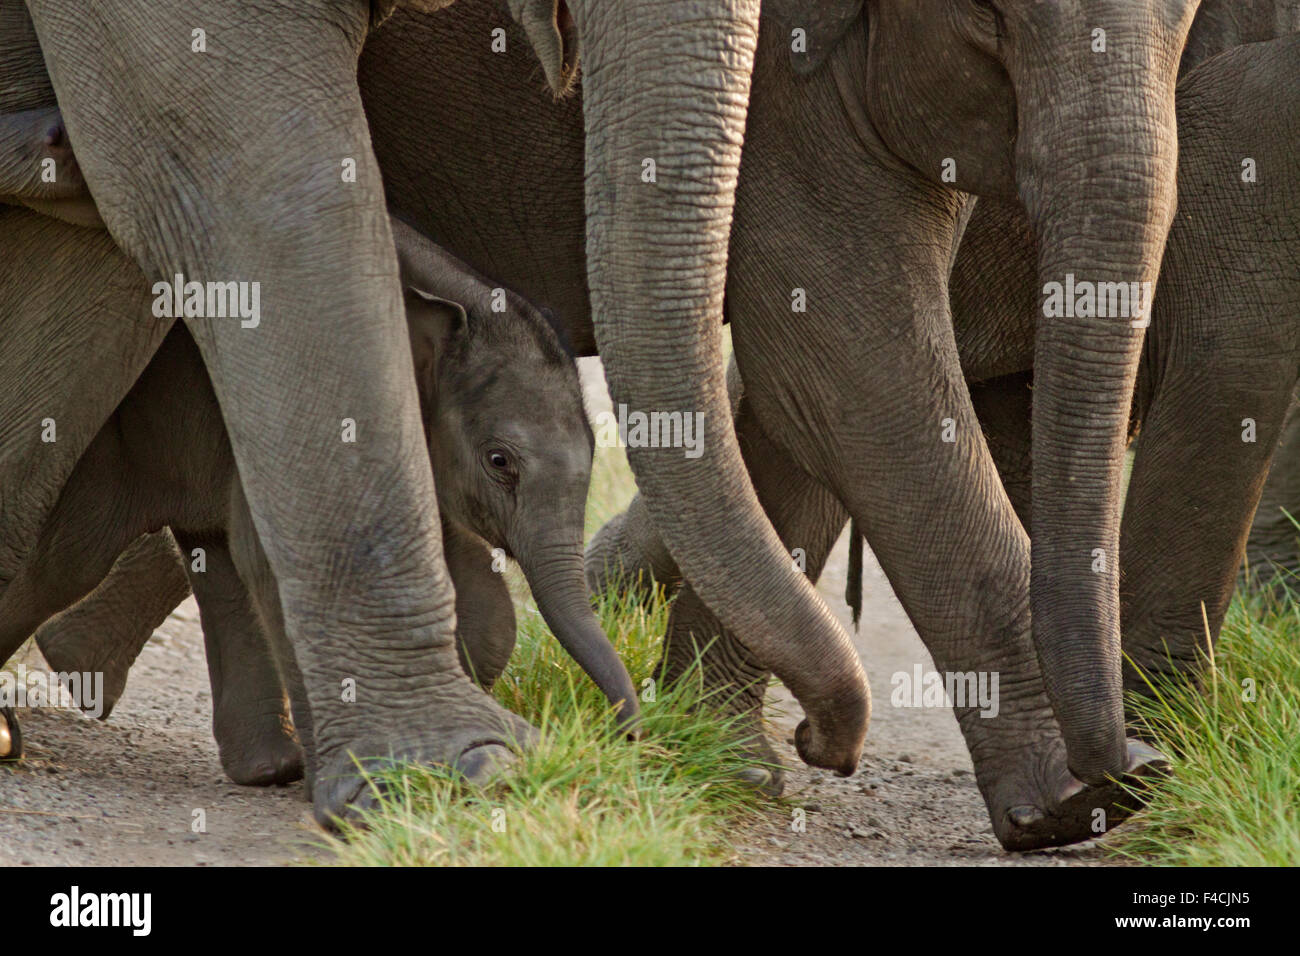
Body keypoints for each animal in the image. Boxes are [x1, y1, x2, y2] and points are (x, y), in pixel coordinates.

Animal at [0, 202, 635, 782]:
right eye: (500, 461)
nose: (628, 738)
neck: (458, 300)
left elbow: (476, 594)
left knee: (211, 557)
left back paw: (269, 769)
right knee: (71, 558)